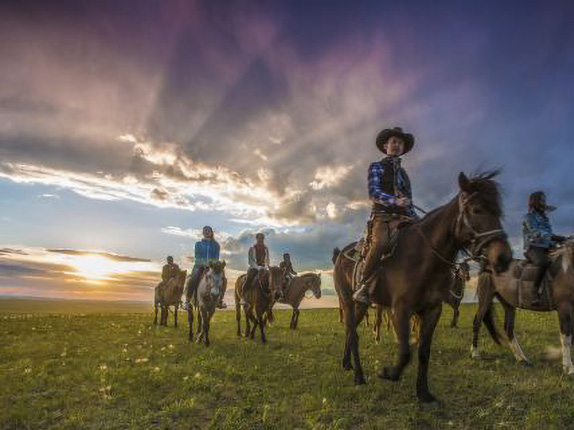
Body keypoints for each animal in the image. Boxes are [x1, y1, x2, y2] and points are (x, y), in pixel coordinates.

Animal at [336, 172, 516, 404]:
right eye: (477, 210)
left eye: (498, 211)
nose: (503, 257)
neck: (423, 257)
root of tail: (341, 254)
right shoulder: (401, 309)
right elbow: (405, 352)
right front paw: (387, 373)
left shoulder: (432, 310)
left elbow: (423, 351)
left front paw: (423, 393)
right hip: (348, 301)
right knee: (353, 333)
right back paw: (359, 376)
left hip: (362, 306)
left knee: (350, 332)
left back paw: (347, 364)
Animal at [472, 240, 574, 374]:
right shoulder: (564, 308)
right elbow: (566, 338)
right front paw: (568, 367)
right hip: (486, 295)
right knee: (477, 322)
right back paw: (475, 354)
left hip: (508, 304)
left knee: (508, 329)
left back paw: (522, 359)